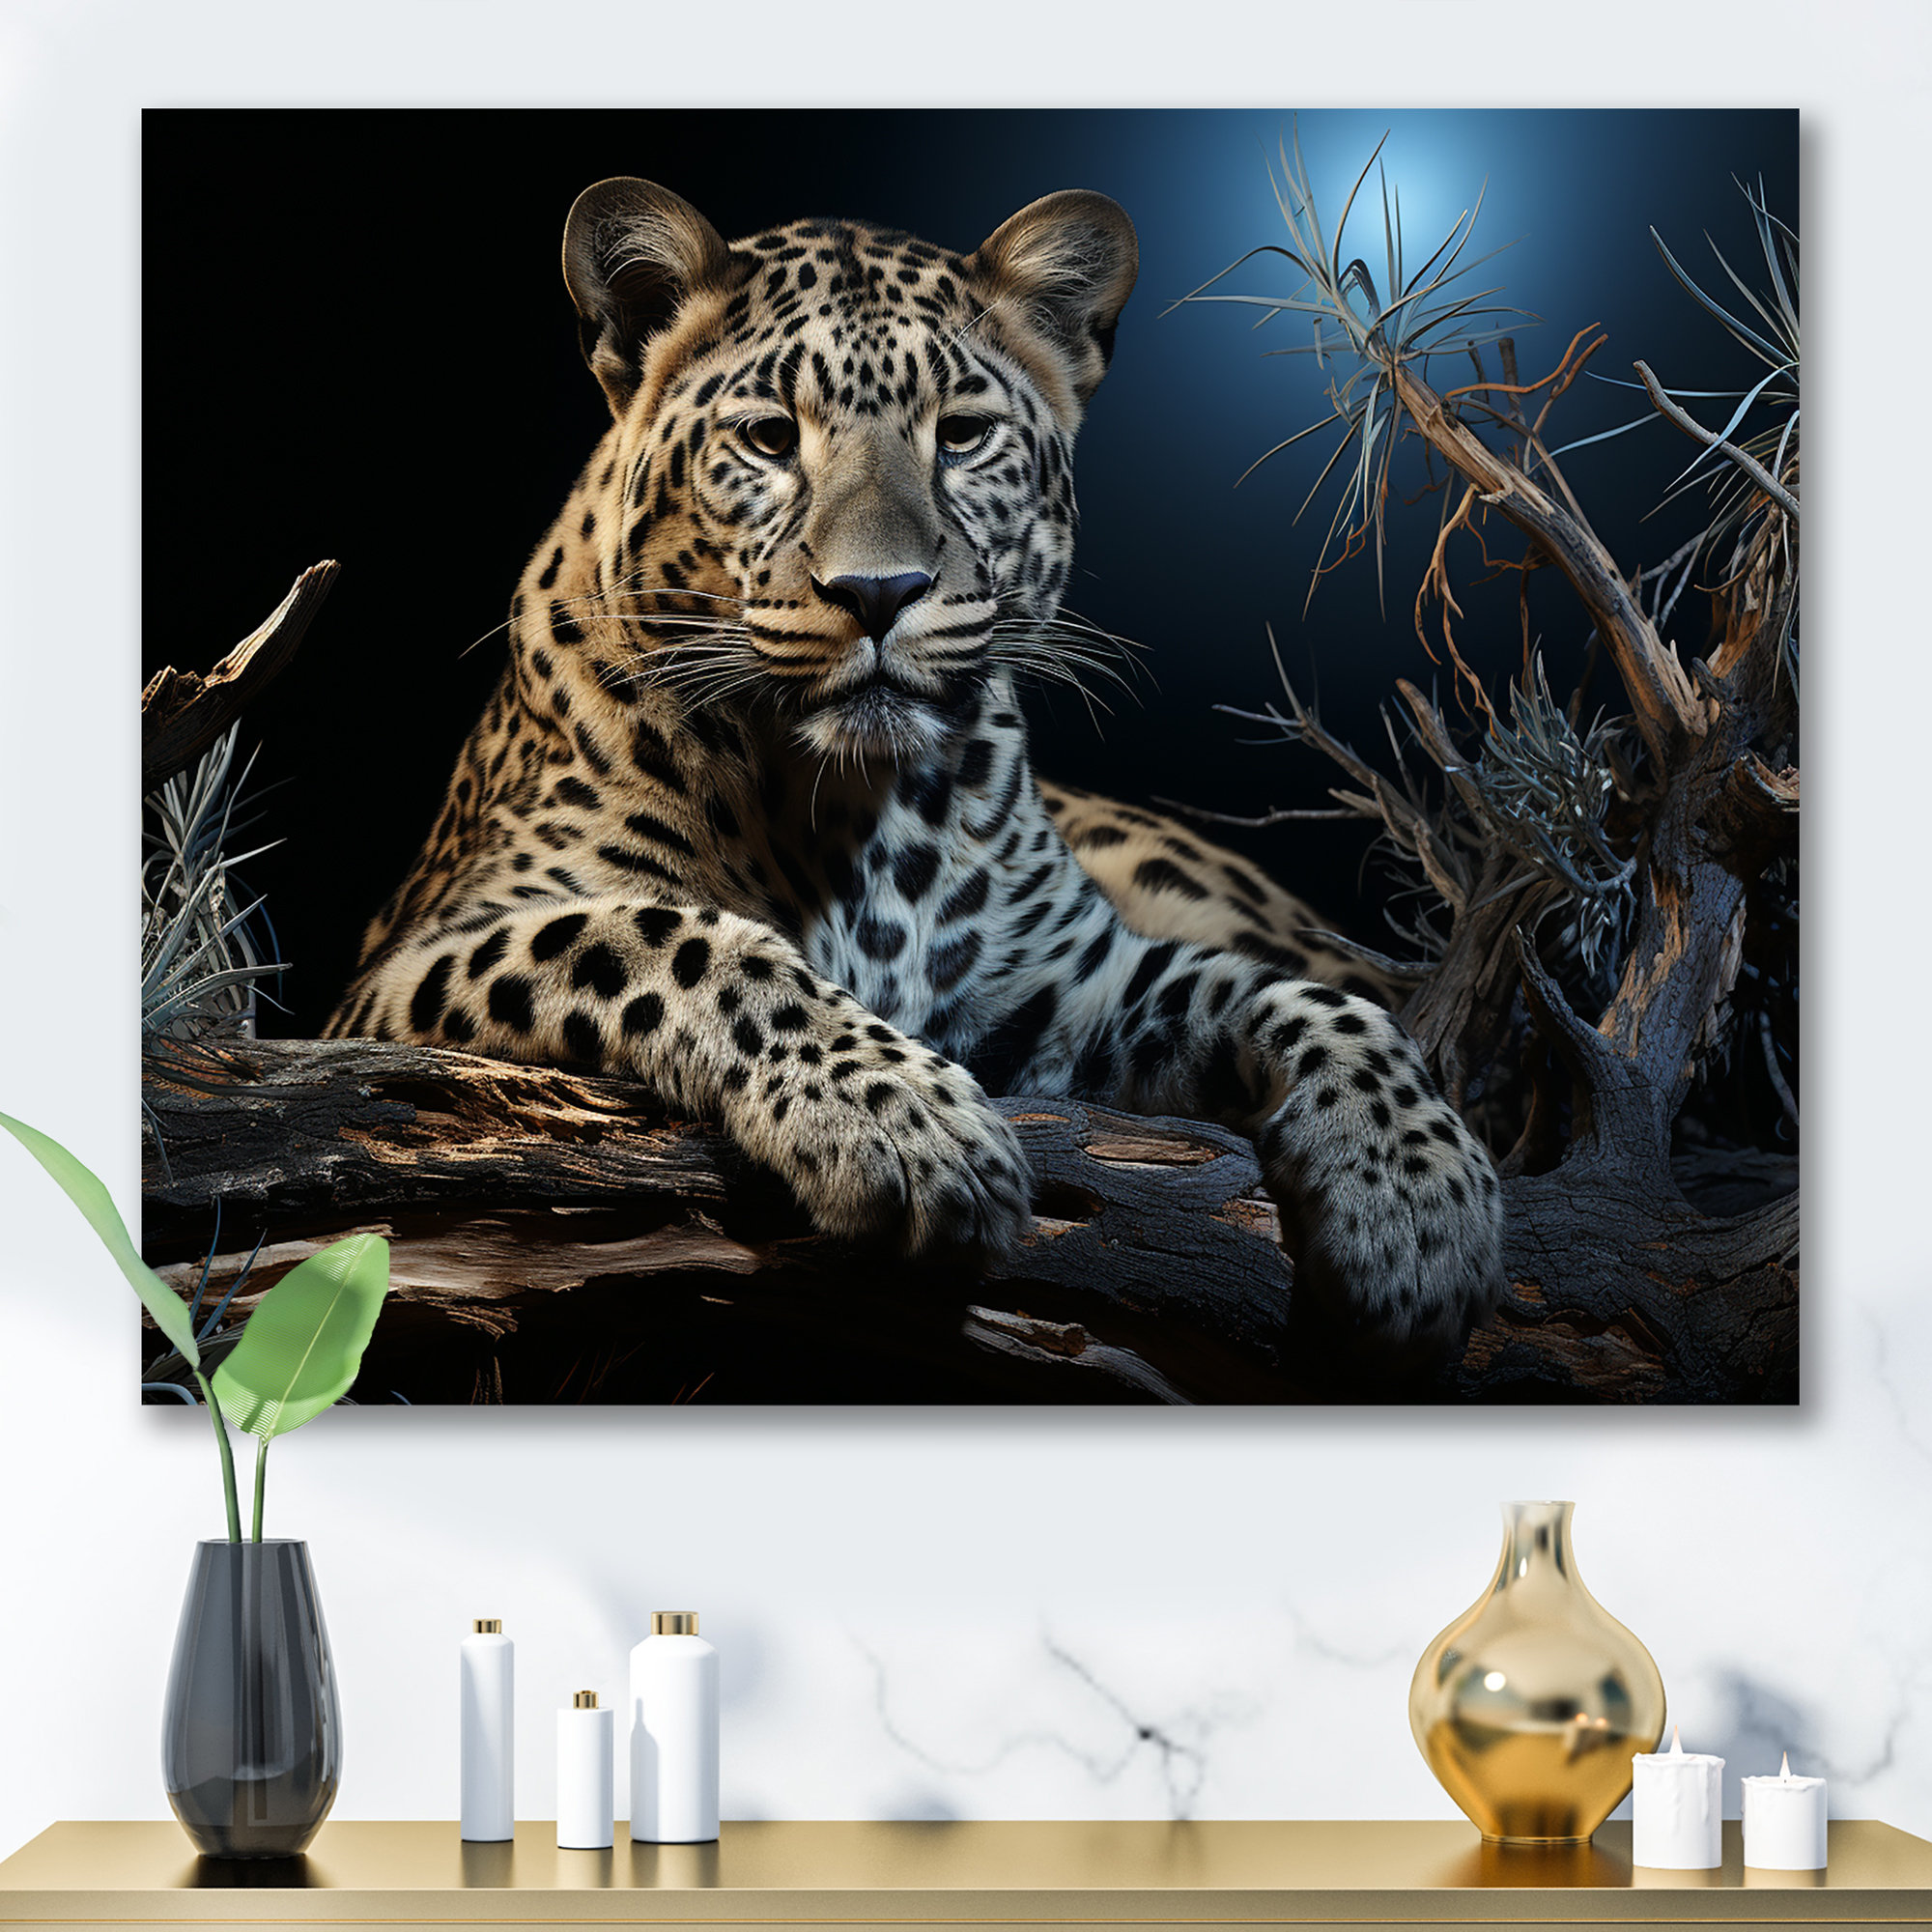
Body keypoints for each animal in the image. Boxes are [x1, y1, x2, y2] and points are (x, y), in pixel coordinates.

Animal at [325, 176, 1505, 1363]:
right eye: (768, 439)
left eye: (963, 435)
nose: (878, 591)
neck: (855, 810)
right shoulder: (395, 980)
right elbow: (670, 936)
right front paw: (907, 1126)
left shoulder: (1069, 991)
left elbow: (1300, 1000)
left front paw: (1417, 1197)